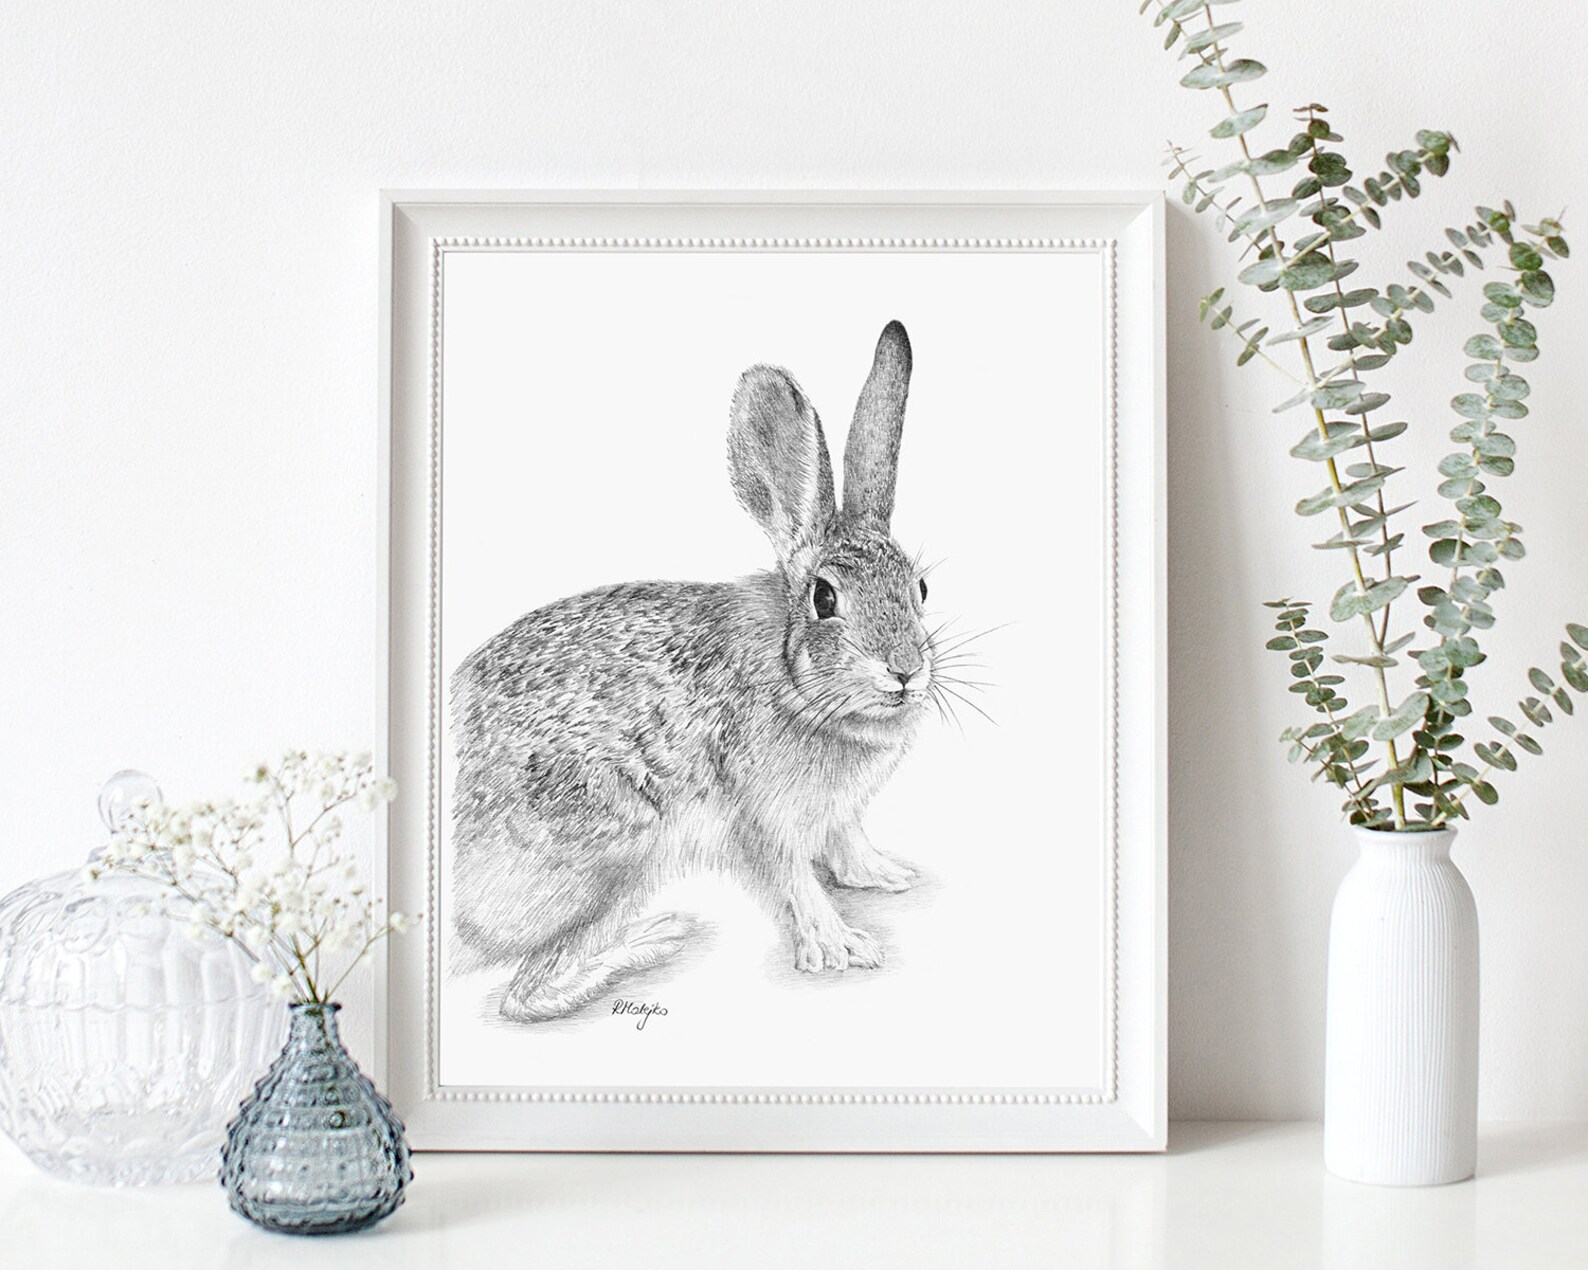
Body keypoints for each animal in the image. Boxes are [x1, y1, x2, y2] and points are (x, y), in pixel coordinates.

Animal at [450, 320, 937, 1023]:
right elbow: (795, 883)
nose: (904, 671)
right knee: (526, 994)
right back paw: (651, 940)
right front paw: (839, 946)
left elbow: (848, 840)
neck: (795, 682)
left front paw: (887, 875)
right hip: (617, 854)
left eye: (921, 589)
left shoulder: (838, 814)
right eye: (824, 598)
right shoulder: (765, 820)